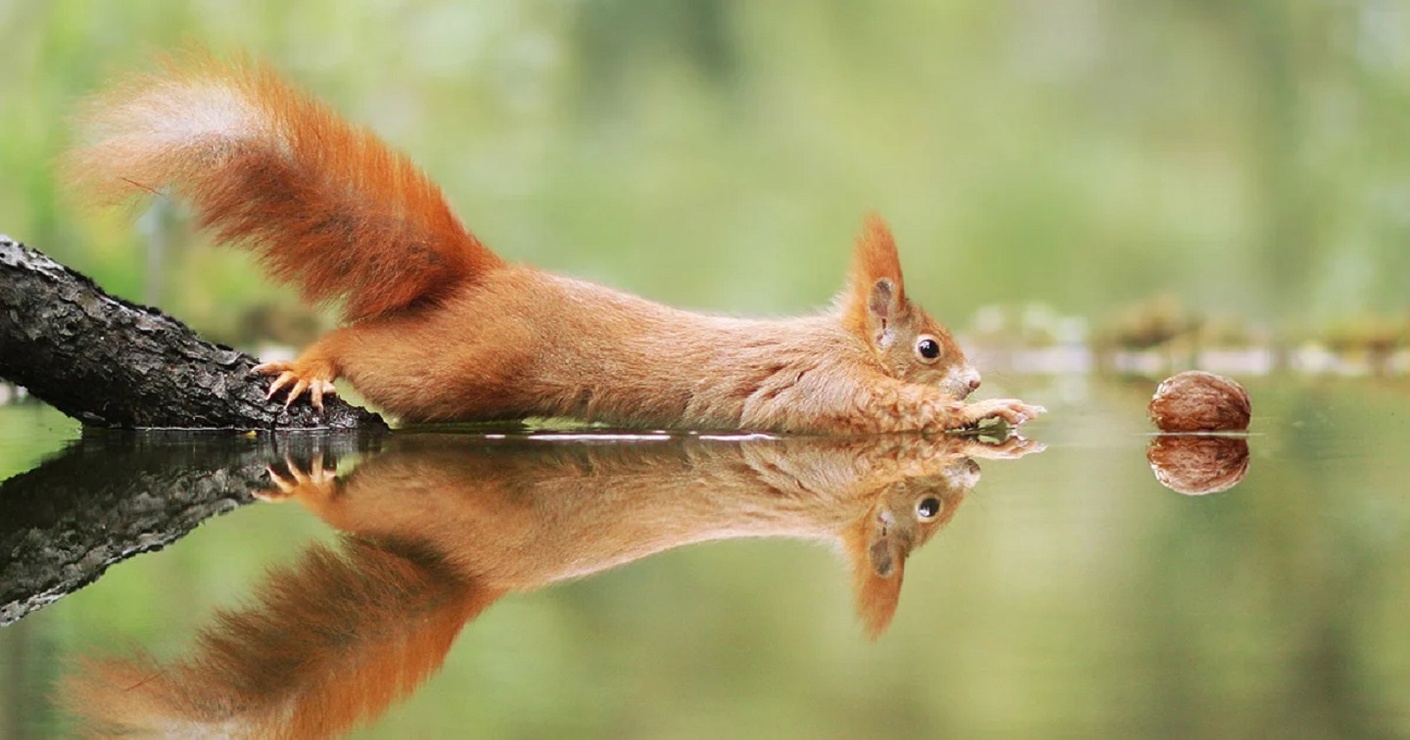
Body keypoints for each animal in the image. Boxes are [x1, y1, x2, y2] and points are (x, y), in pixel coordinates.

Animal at [66, 54, 1045, 433]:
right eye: (930, 347)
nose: (975, 377)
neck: (839, 344)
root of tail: (486, 272)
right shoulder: (828, 390)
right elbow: (893, 415)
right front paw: (989, 412)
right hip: (457, 364)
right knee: (363, 349)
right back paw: (311, 363)